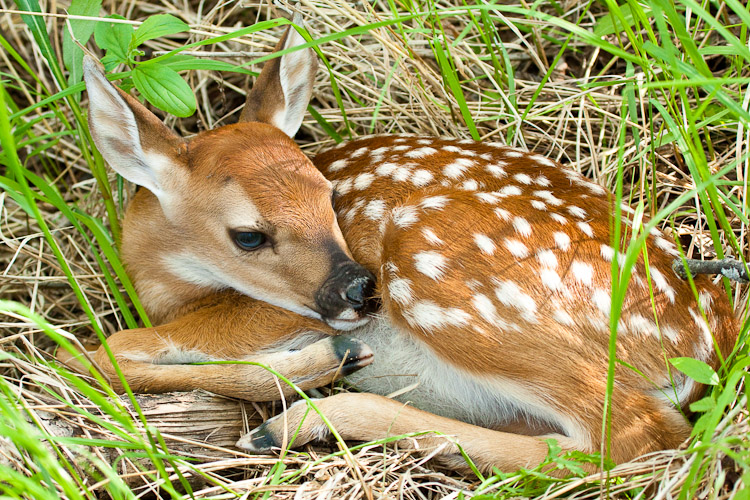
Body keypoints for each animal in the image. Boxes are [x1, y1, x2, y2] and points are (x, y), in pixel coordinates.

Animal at [73, 15, 738, 475]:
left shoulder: (264, 314)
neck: (162, 280)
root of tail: (714, 337)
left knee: (631, 439)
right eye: (249, 235)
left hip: (443, 279)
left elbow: (99, 354)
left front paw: (321, 364)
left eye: (329, 197)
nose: (358, 290)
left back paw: (293, 423)